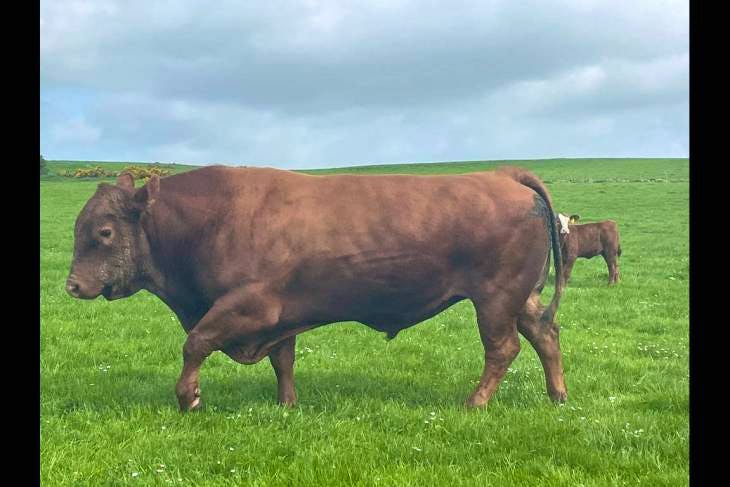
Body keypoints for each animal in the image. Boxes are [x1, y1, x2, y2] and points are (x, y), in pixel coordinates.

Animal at [66, 165, 568, 411]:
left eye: (104, 231)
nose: (73, 285)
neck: (211, 219)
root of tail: (502, 176)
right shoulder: (283, 317)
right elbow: (282, 360)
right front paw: (287, 405)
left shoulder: (249, 307)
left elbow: (196, 343)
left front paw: (189, 398)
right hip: (520, 299)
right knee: (545, 335)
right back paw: (557, 396)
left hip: (495, 301)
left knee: (502, 349)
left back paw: (475, 403)